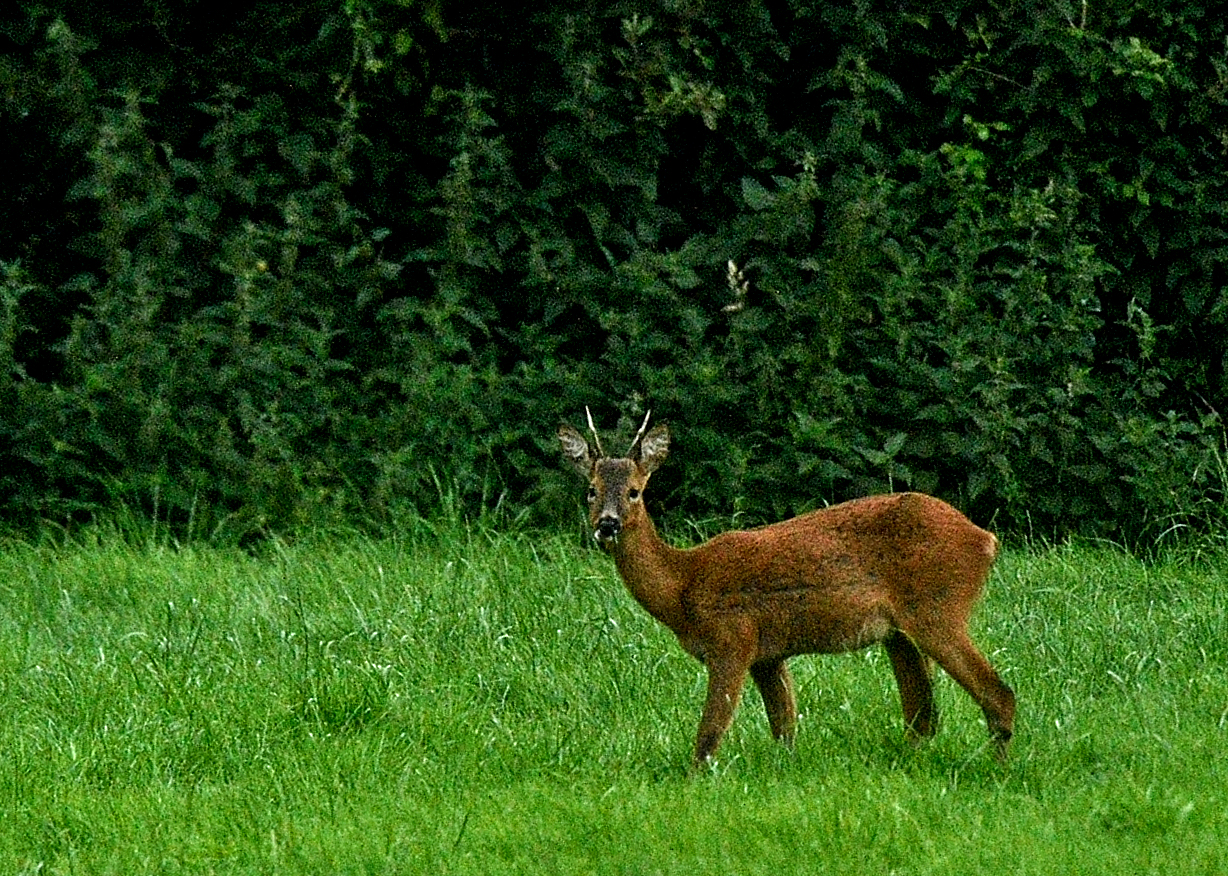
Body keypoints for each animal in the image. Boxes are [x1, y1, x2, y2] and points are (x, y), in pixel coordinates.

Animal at [558, 409, 1016, 769]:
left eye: (635, 492)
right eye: (591, 491)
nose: (608, 524)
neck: (683, 585)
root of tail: (986, 540)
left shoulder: (732, 638)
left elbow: (709, 734)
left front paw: (693, 781)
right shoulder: (768, 654)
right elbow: (784, 727)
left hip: (937, 607)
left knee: (997, 694)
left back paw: (997, 769)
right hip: (899, 632)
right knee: (923, 712)